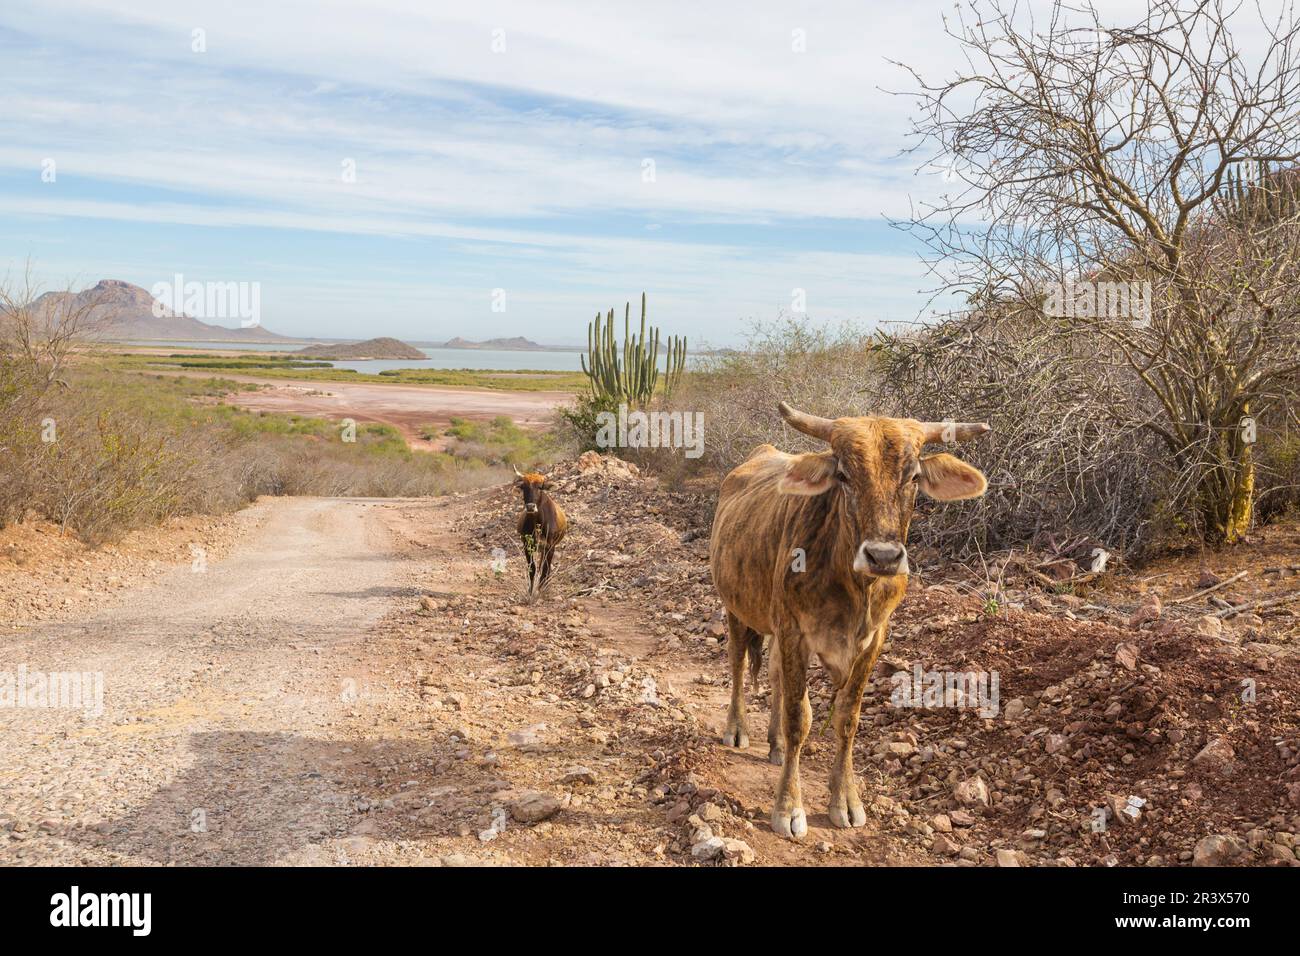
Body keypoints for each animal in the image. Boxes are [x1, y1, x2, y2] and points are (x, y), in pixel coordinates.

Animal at [514, 466, 568, 594]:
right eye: (524, 487)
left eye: (539, 487)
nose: (530, 507)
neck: (537, 521)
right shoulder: (527, 546)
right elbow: (532, 568)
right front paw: (531, 590)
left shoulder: (550, 546)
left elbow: (545, 568)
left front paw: (542, 589)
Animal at [709, 401, 990, 839]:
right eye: (843, 475)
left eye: (913, 476)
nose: (883, 556)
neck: (855, 585)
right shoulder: (795, 633)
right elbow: (799, 717)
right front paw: (789, 807)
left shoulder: (872, 641)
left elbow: (847, 718)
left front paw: (846, 800)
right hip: (736, 607)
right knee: (738, 663)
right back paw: (737, 729)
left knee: (773, 675)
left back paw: (774, 745)